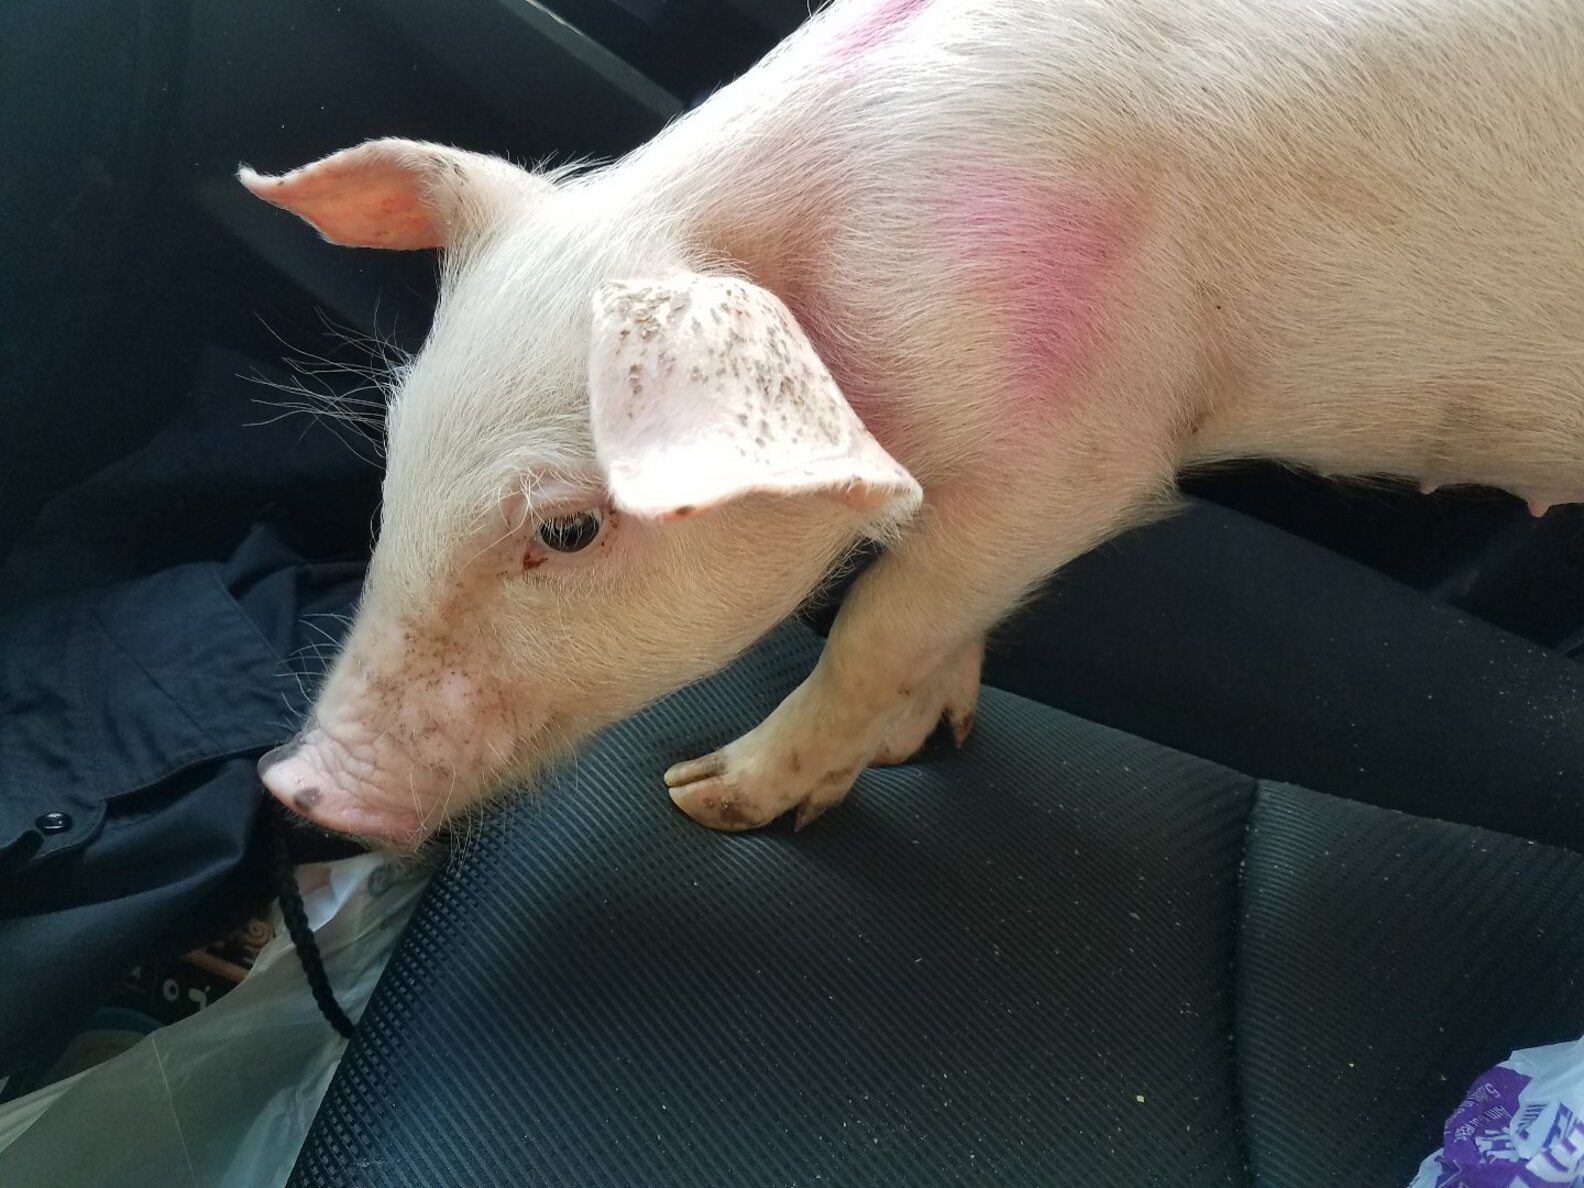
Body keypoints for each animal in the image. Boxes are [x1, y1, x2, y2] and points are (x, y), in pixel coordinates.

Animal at [244, 0, 1584, 844]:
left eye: (568, 529)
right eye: (395, 459)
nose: (296, 788)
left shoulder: (1091, 453)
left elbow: (882, 618)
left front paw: (708, 799)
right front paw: (918, 739)